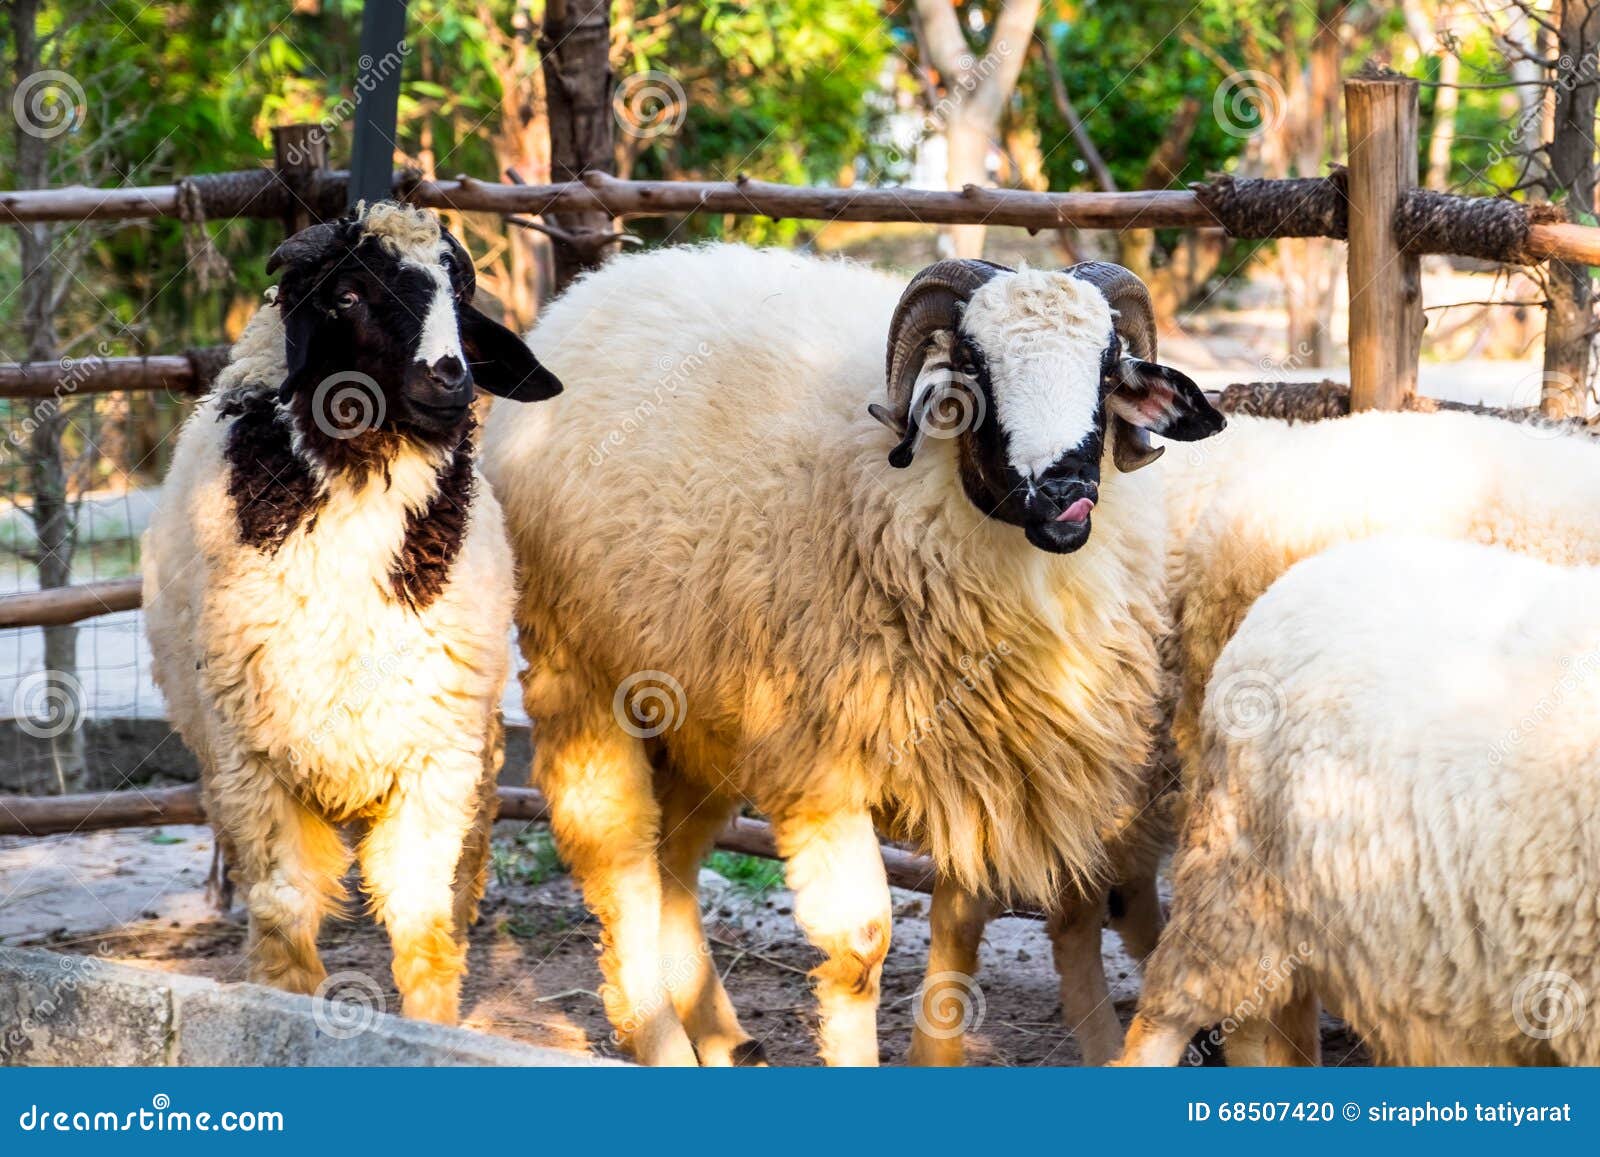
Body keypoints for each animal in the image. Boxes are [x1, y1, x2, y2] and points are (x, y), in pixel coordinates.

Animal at [142, 202, 563, 1024]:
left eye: (460, 297)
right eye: (347, 297)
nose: (451, 376)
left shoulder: (436, 754)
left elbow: (423, 918)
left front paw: (434, 1028)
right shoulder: (253, 757)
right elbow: (284, 908)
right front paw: (285, 1010)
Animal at [480, 243, 1224, 1065]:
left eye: (1109, 367)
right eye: (972, 364)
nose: (1064, 493)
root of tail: (587, 291)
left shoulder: (981, 768)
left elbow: (961, 924)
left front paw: (935, 1059)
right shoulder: (821, 771)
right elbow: (862, 943)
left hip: (702, 714)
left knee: (674, 859)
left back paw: (723, 1034)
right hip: (580, 673)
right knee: (620, 863)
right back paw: (661, 1038)